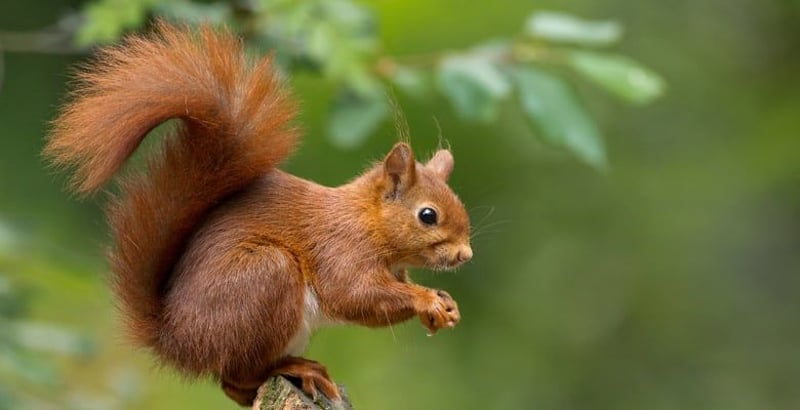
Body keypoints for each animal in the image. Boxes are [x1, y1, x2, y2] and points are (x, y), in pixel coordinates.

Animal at [44, 21, 472, 406]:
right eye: (428, 215)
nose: (465, 255)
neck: (367, 221)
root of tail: (177, 341)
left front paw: (445, 304)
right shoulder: (340, 249)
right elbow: (355, 295)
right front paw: (426, 300)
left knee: (233, 387)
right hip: (266, 278)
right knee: (236, 376)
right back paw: (296, 368)